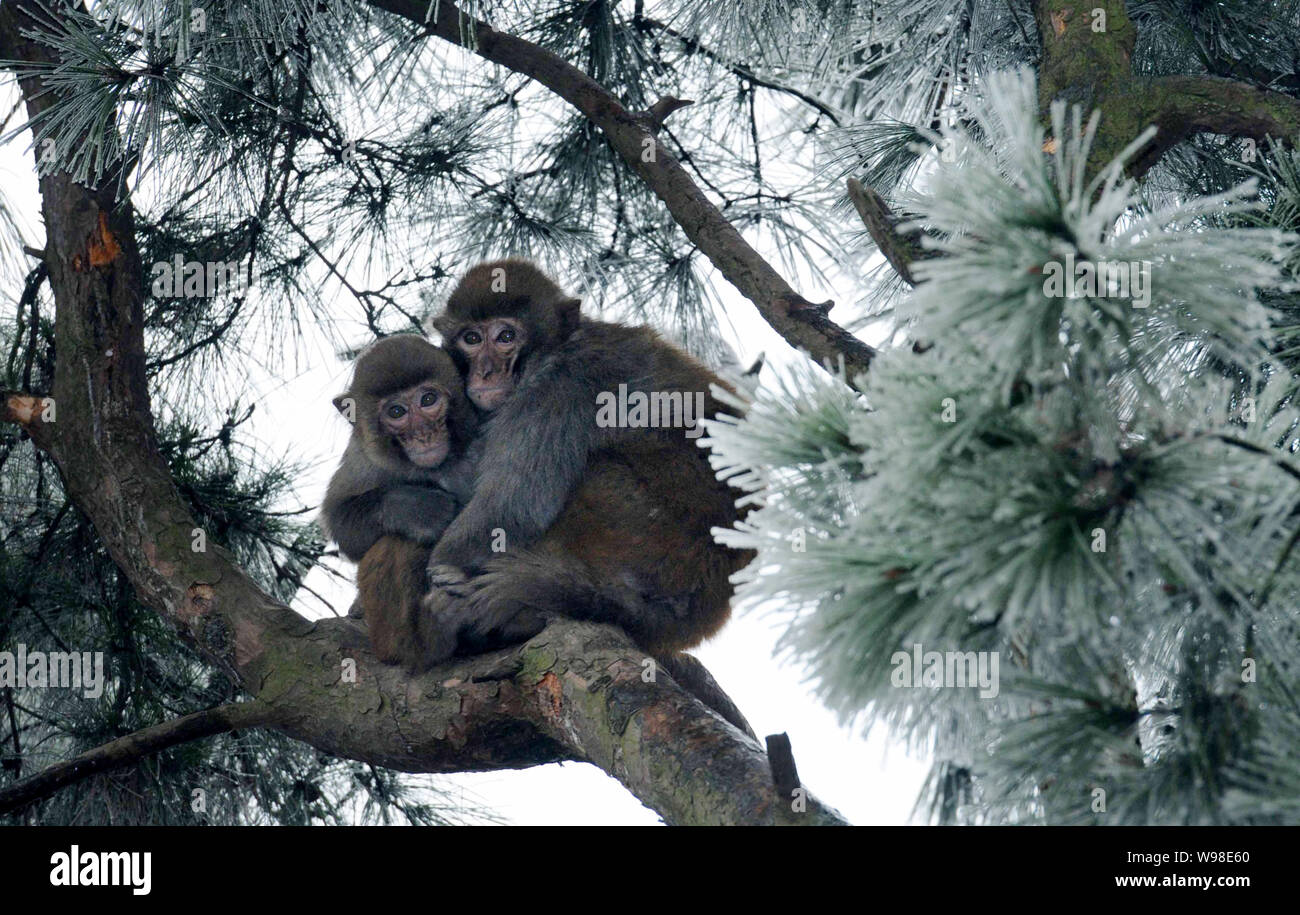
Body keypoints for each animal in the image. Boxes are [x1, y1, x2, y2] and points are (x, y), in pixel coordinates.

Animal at [320, 334, 478, 667]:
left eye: (428, 400)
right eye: (396, 412)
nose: (424, 434)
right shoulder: (364, 455)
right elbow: (341, 522)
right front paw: (418, 508)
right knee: (398, 542)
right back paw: (428, 640)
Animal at [415, 258, 755, 675]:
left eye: (506, 336)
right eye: (472, 338)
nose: (486, 372)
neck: (557, 349)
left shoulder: (561, 389)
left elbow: (511, 507)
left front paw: (442, 574)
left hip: (661, 545)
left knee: (597, 470)